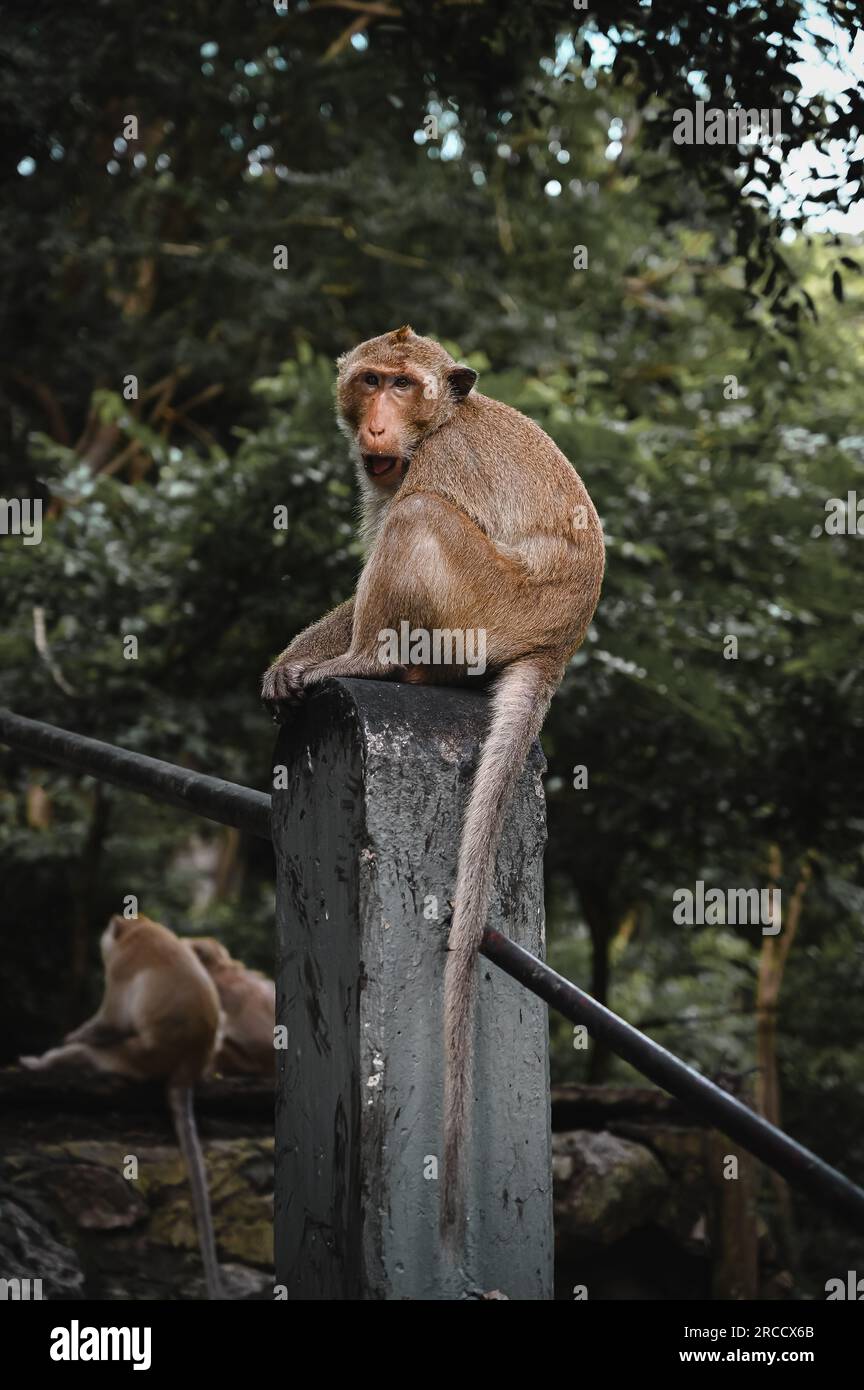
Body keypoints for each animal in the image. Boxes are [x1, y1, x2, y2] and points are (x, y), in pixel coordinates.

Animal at [20, 913, 226, 1300]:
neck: (141, 929)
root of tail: (188, 1065)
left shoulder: (120, 967)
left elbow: (113, 1020)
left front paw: (68, 1040)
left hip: (140, 1058)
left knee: (96, 1053)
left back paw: (42, 1064)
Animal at [261, 326, 605, 1240]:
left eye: (404, 386)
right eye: (370, 381)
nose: (378, 423)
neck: (438, 423)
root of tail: (555, 642)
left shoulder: (437, 463)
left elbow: (402, 526)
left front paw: (330, 659)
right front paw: (285, 663)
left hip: (483, 607)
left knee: (417, 524)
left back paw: (374, 664)